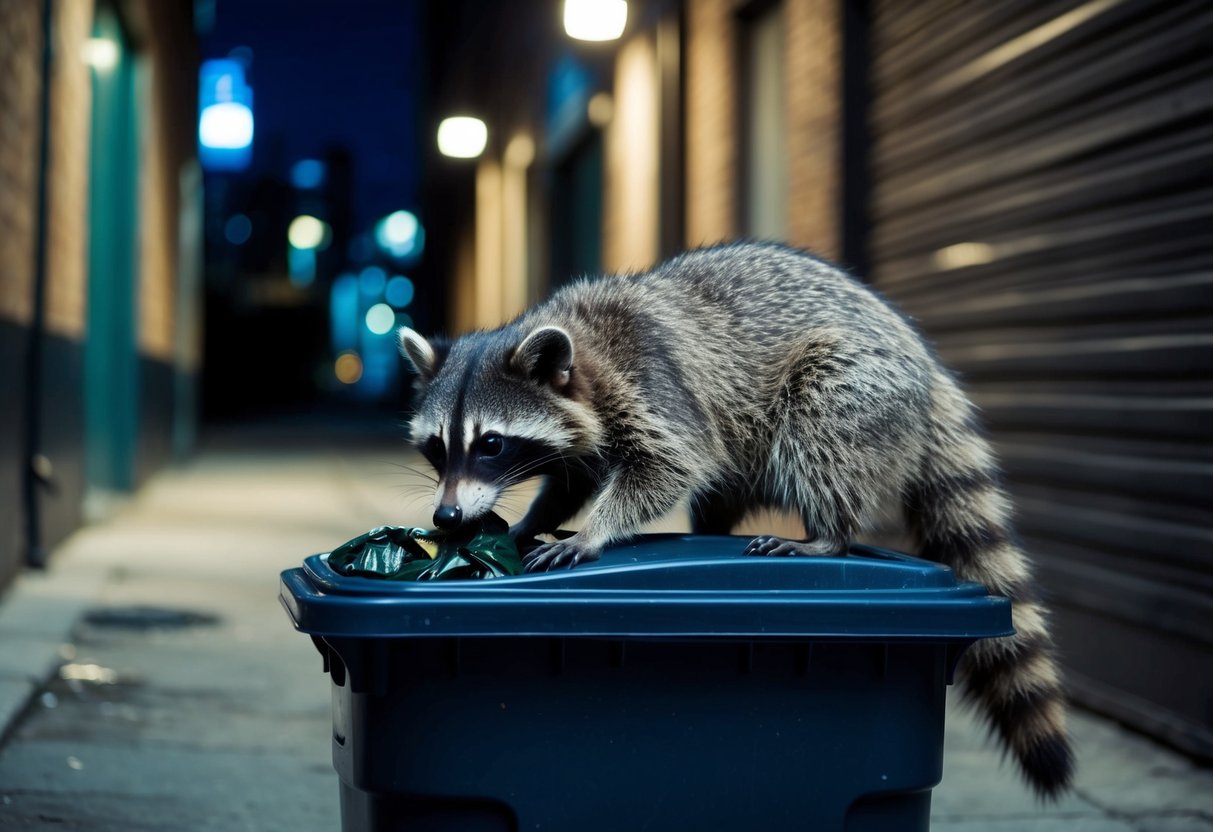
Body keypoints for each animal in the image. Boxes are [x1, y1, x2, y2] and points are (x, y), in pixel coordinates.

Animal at [398, 241, 1073, 797]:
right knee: (723, 489)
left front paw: (593, 530)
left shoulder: (651, 386)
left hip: (858, 384)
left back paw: (829, 535)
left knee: (819, 422)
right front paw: (527, 520)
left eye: (491, 444)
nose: (448, 515)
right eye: (436, 447)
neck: (581, 347)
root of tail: (927, 367)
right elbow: (573, 480)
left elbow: (669, 465)